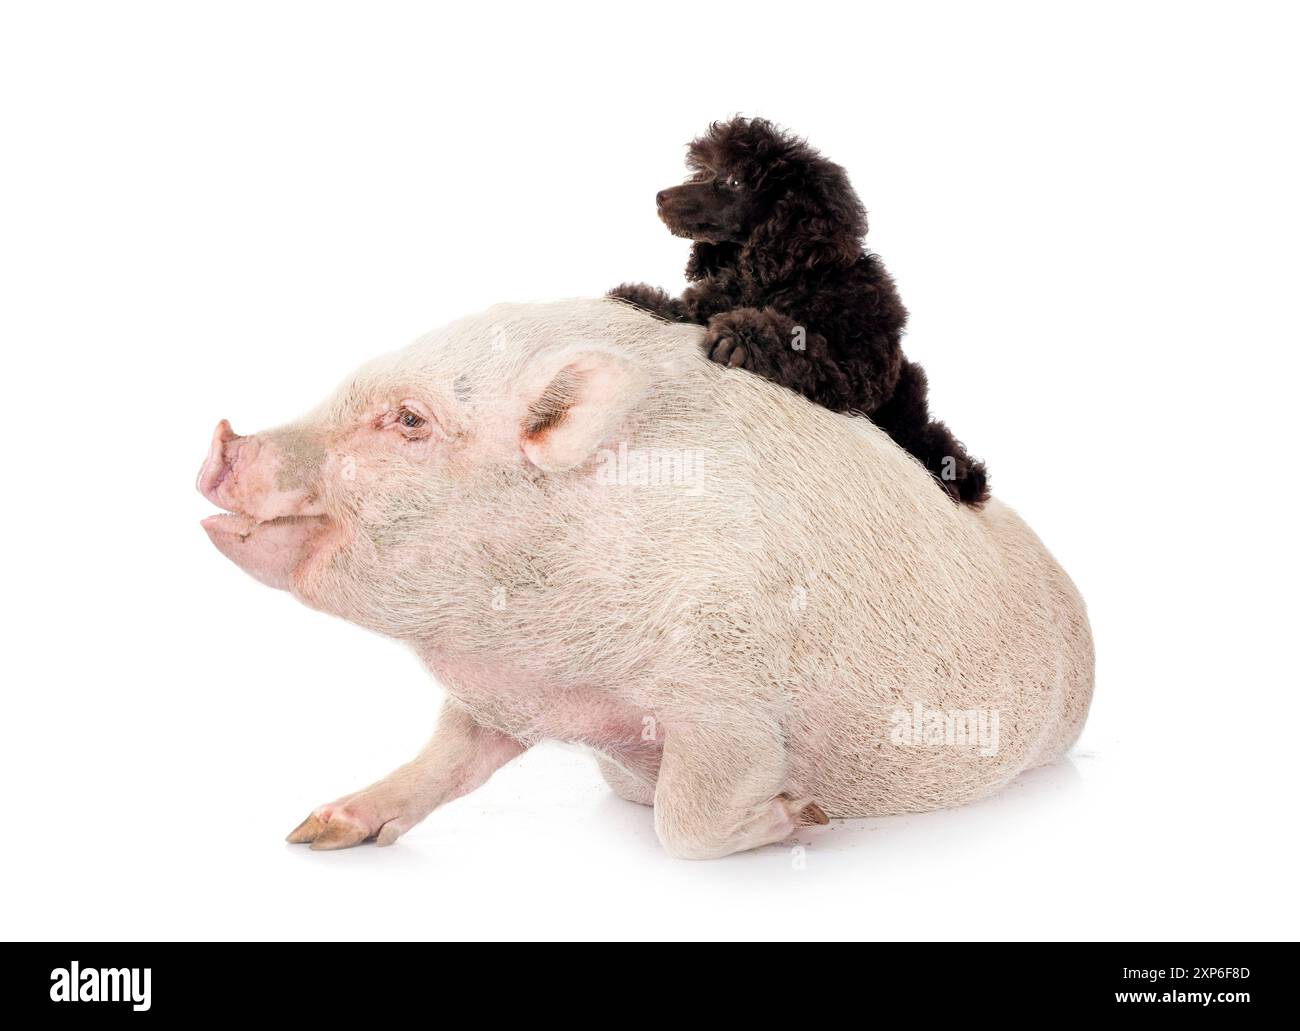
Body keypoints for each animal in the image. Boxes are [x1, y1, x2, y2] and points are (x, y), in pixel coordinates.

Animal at [198, 298, 1094, 859]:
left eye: (410, 420)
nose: (223, 442)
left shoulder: (730, 698)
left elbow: (684, 820)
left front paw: (804, 815)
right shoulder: (500, 699)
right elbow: (450, 757)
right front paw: (314, 832)